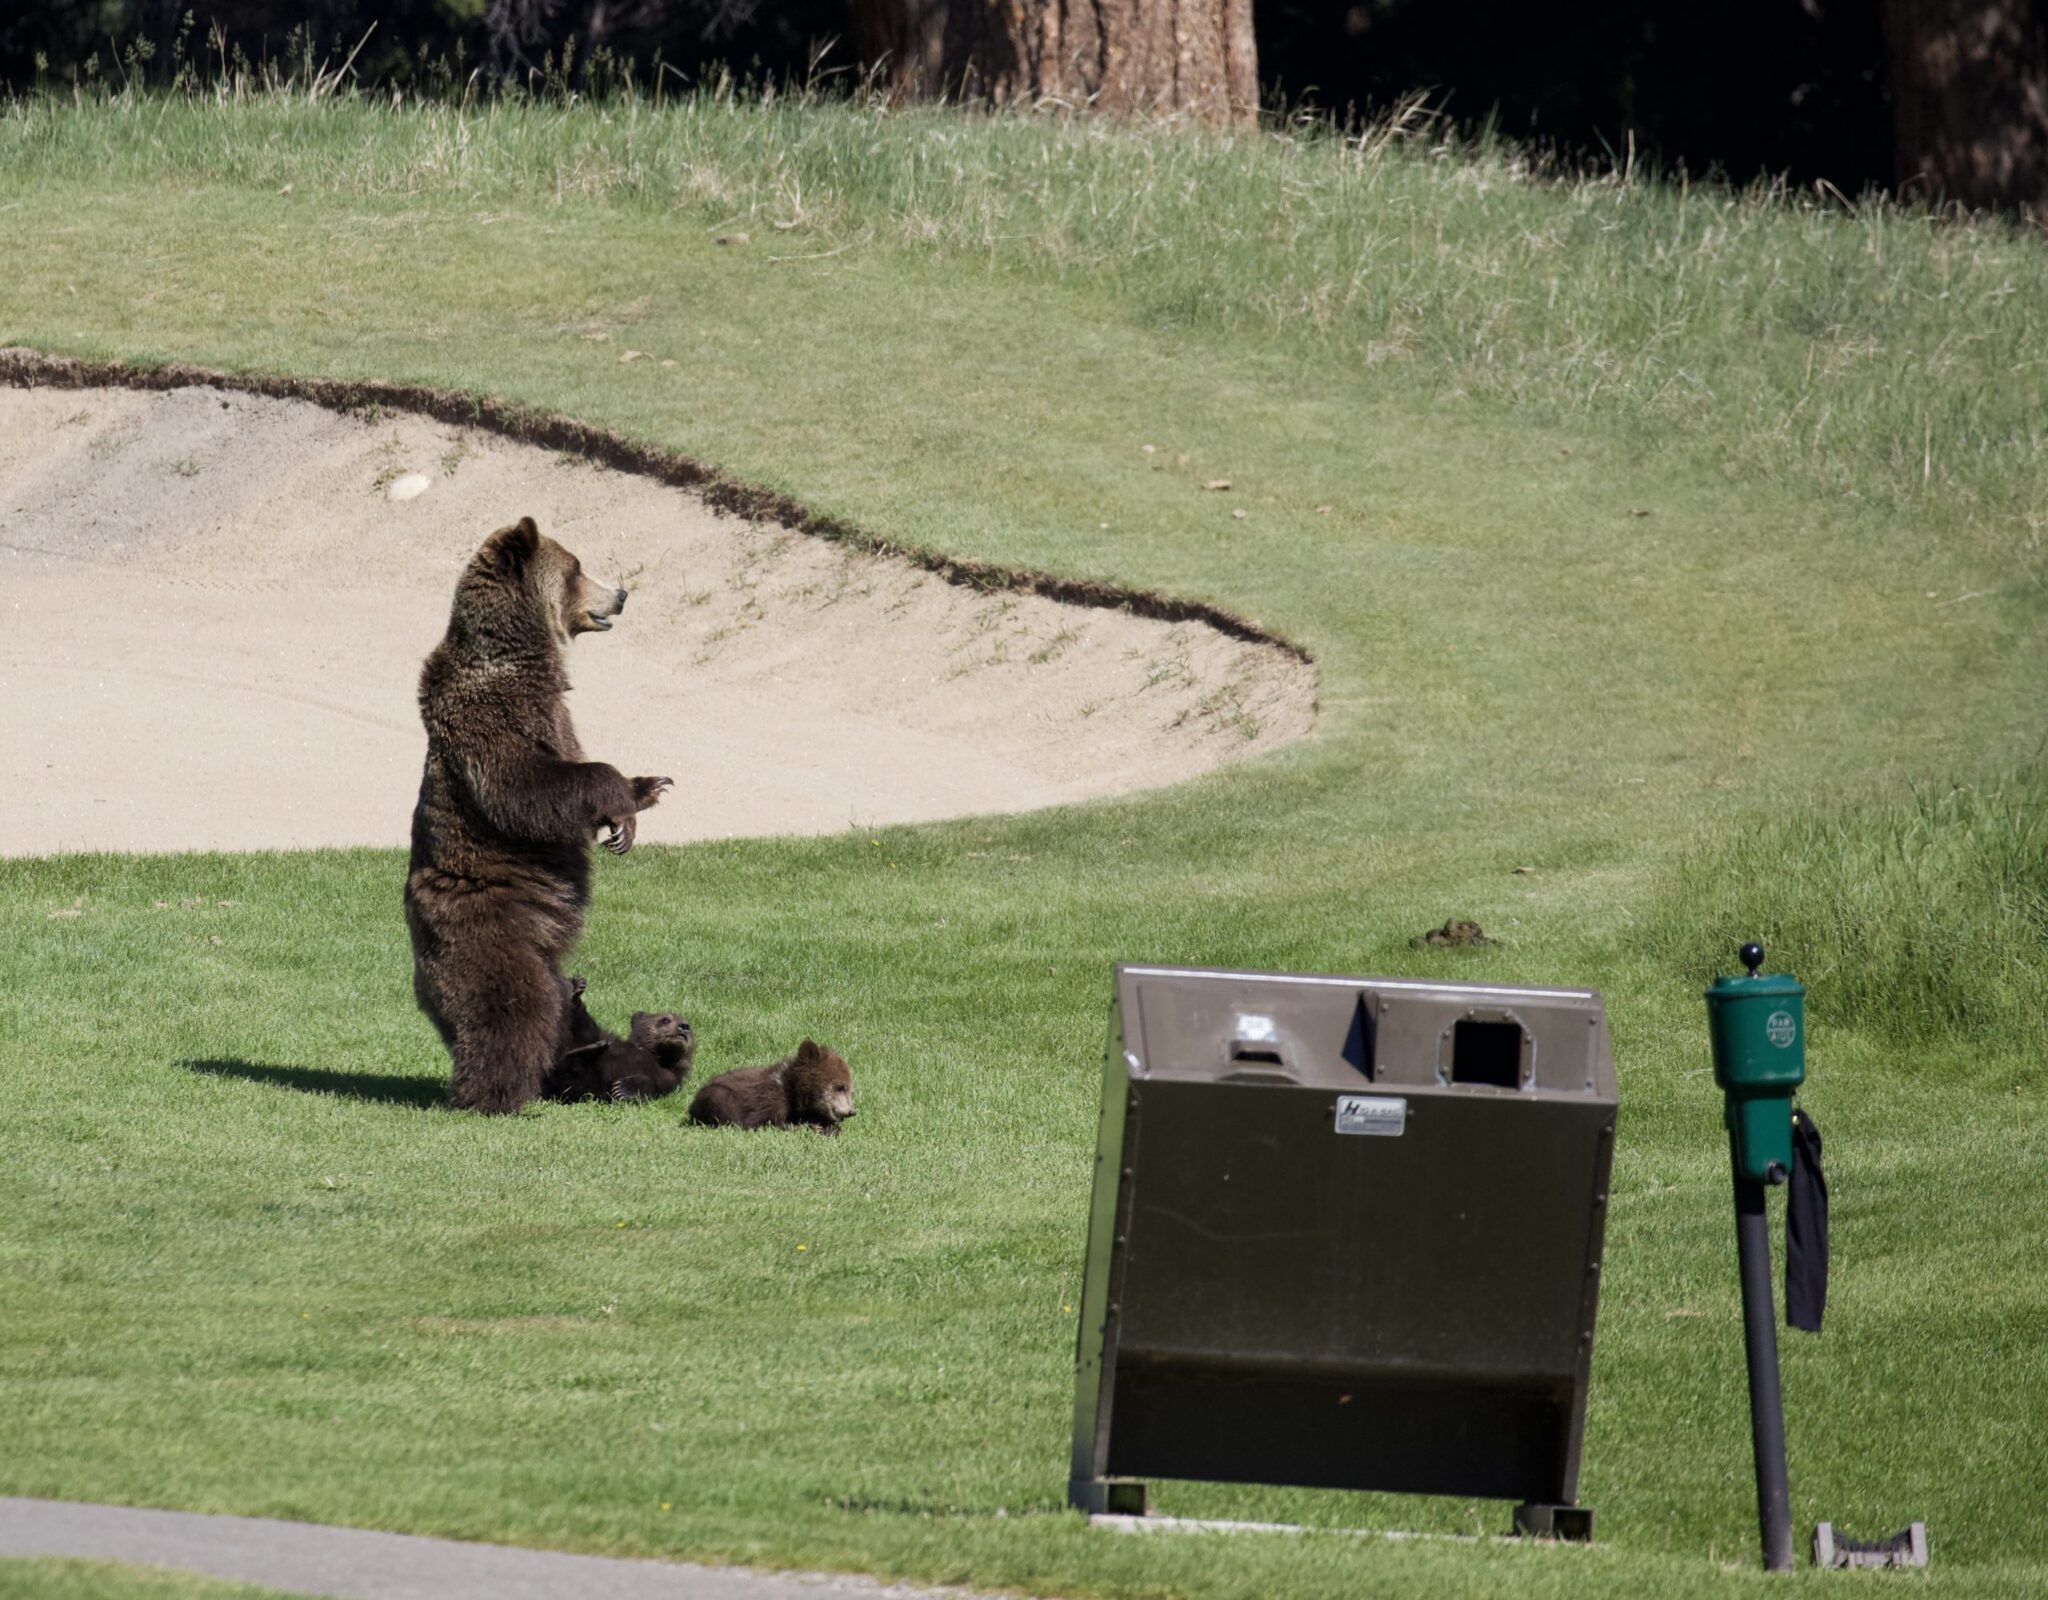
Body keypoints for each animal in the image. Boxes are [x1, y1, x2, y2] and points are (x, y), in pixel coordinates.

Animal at [403, 517, 672, 1114]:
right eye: (578, 568)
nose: (621, 594)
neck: (526, 656)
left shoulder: (553, 710)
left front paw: (650, 787)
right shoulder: (496, 715)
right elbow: (528, 786)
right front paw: (622, 808)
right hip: (495, 927)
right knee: (513, 1005)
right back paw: (496, 1094)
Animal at [545, 1010, 696, 1104]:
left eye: (688, 1024)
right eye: (665, 1019)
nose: (684, 1026)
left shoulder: (670, 1079)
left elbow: (655, 1087)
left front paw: (623, 1089)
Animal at [687, 1040, 856, 1135]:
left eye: (849, 1088)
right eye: (840, 1087)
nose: (851, 1111)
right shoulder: (768, 1101)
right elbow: (764, 1123)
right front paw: (814, 1128)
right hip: (716, 1095)